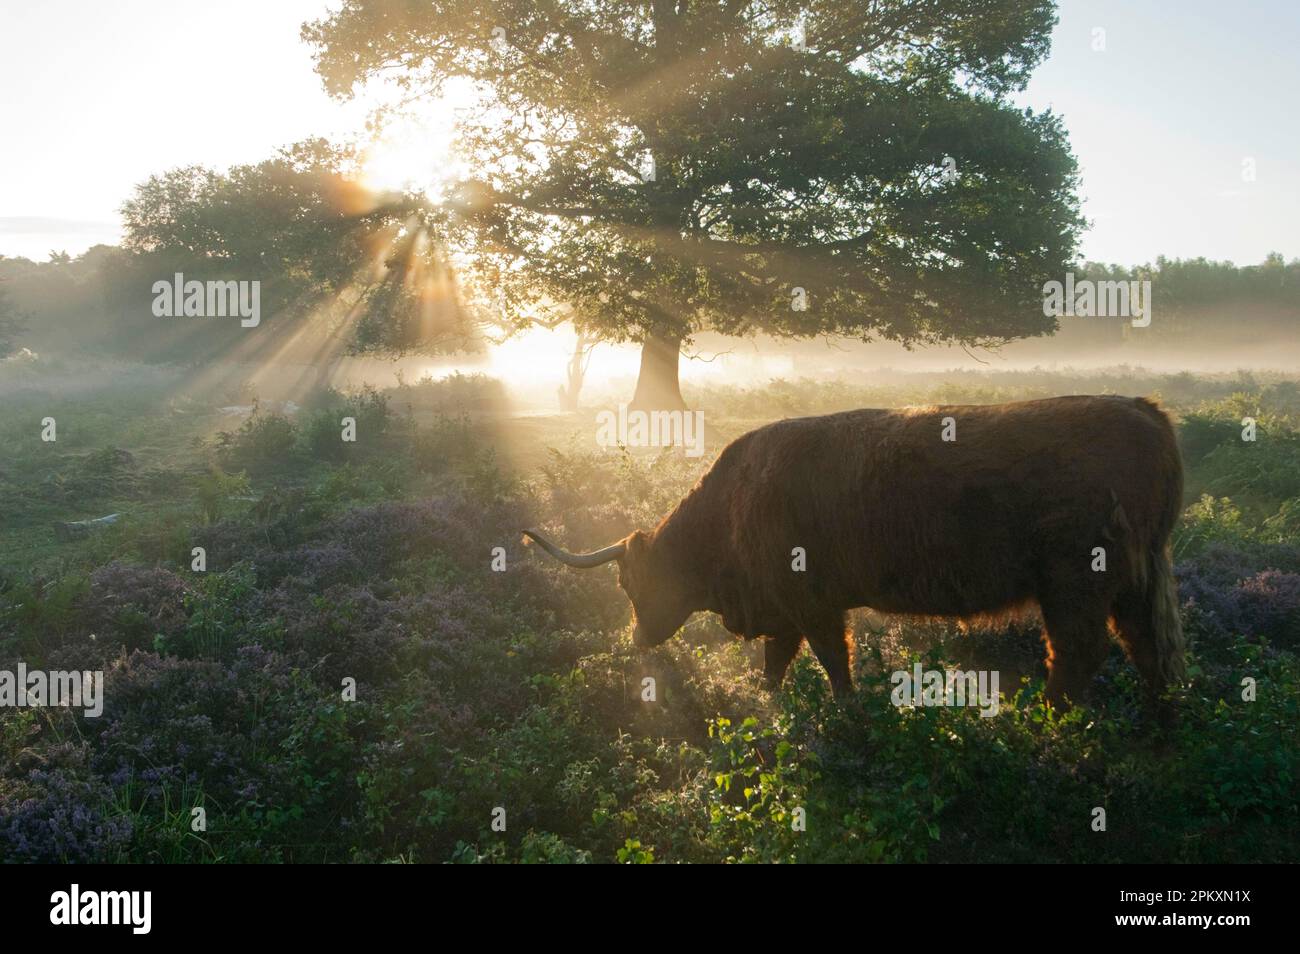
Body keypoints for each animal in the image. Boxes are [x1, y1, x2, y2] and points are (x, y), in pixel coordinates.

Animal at [524, 395, 1186, 710]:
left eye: (629, 584)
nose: (635, 640)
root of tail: (1142, 410)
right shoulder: (783, 611)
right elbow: (775, 666)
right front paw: (766, 710)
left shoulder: (812, 603)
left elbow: (832, 663)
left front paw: (848, 719)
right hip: (1134, 582)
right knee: (1149, 649)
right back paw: (1163, 730)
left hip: (1077, 580)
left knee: (1077, 654)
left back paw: (1050, 728)